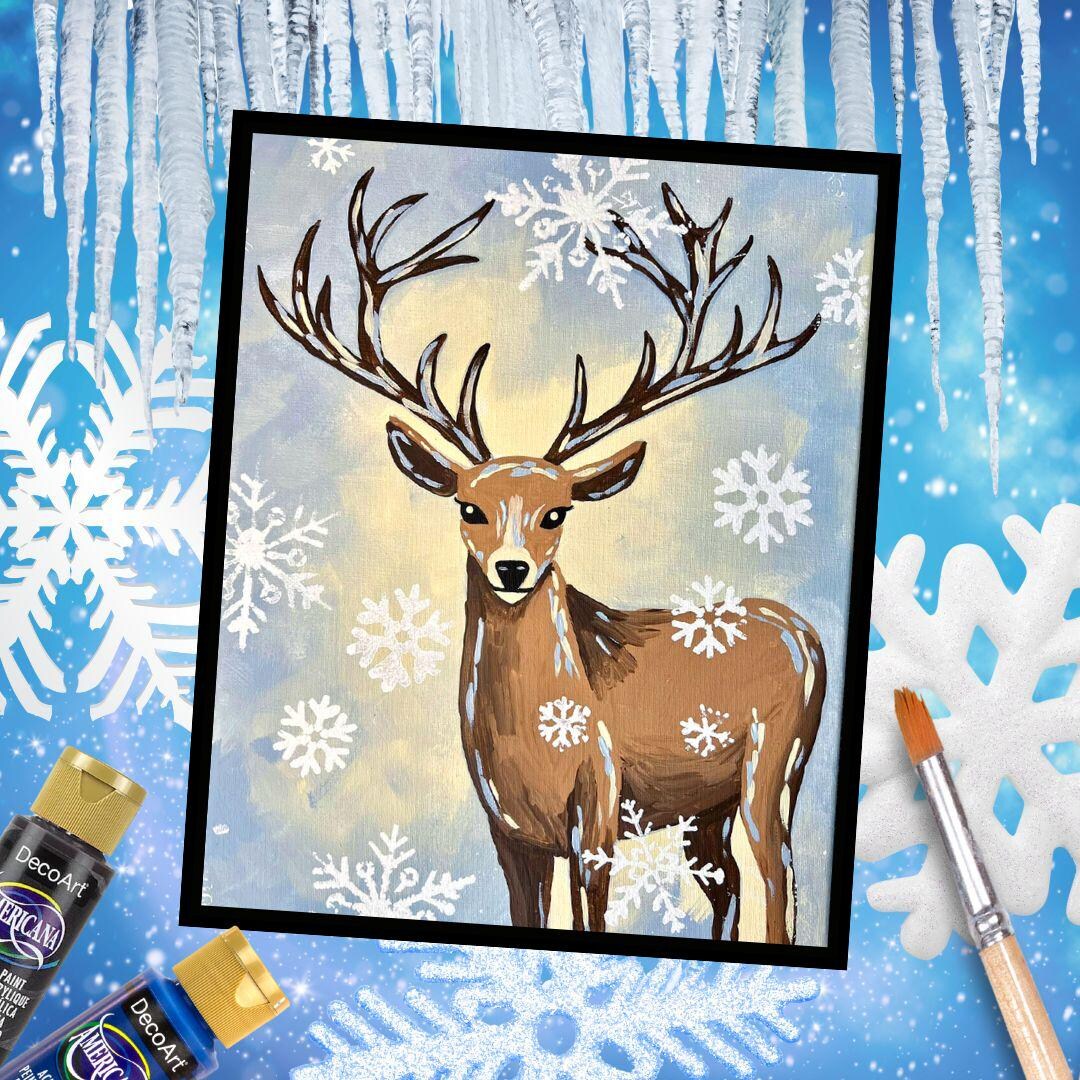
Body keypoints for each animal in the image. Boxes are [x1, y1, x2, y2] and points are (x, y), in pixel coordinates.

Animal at [258, 166, 827, 946]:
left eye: (558, 512)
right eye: (468, 506)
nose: (511, 569)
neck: (537, 745)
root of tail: (806, 632)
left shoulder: (599, 811)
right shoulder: (509, 831)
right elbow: (526, 913)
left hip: (774, 765)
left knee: (780, 880)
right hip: (699, 809)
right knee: (729, 882)